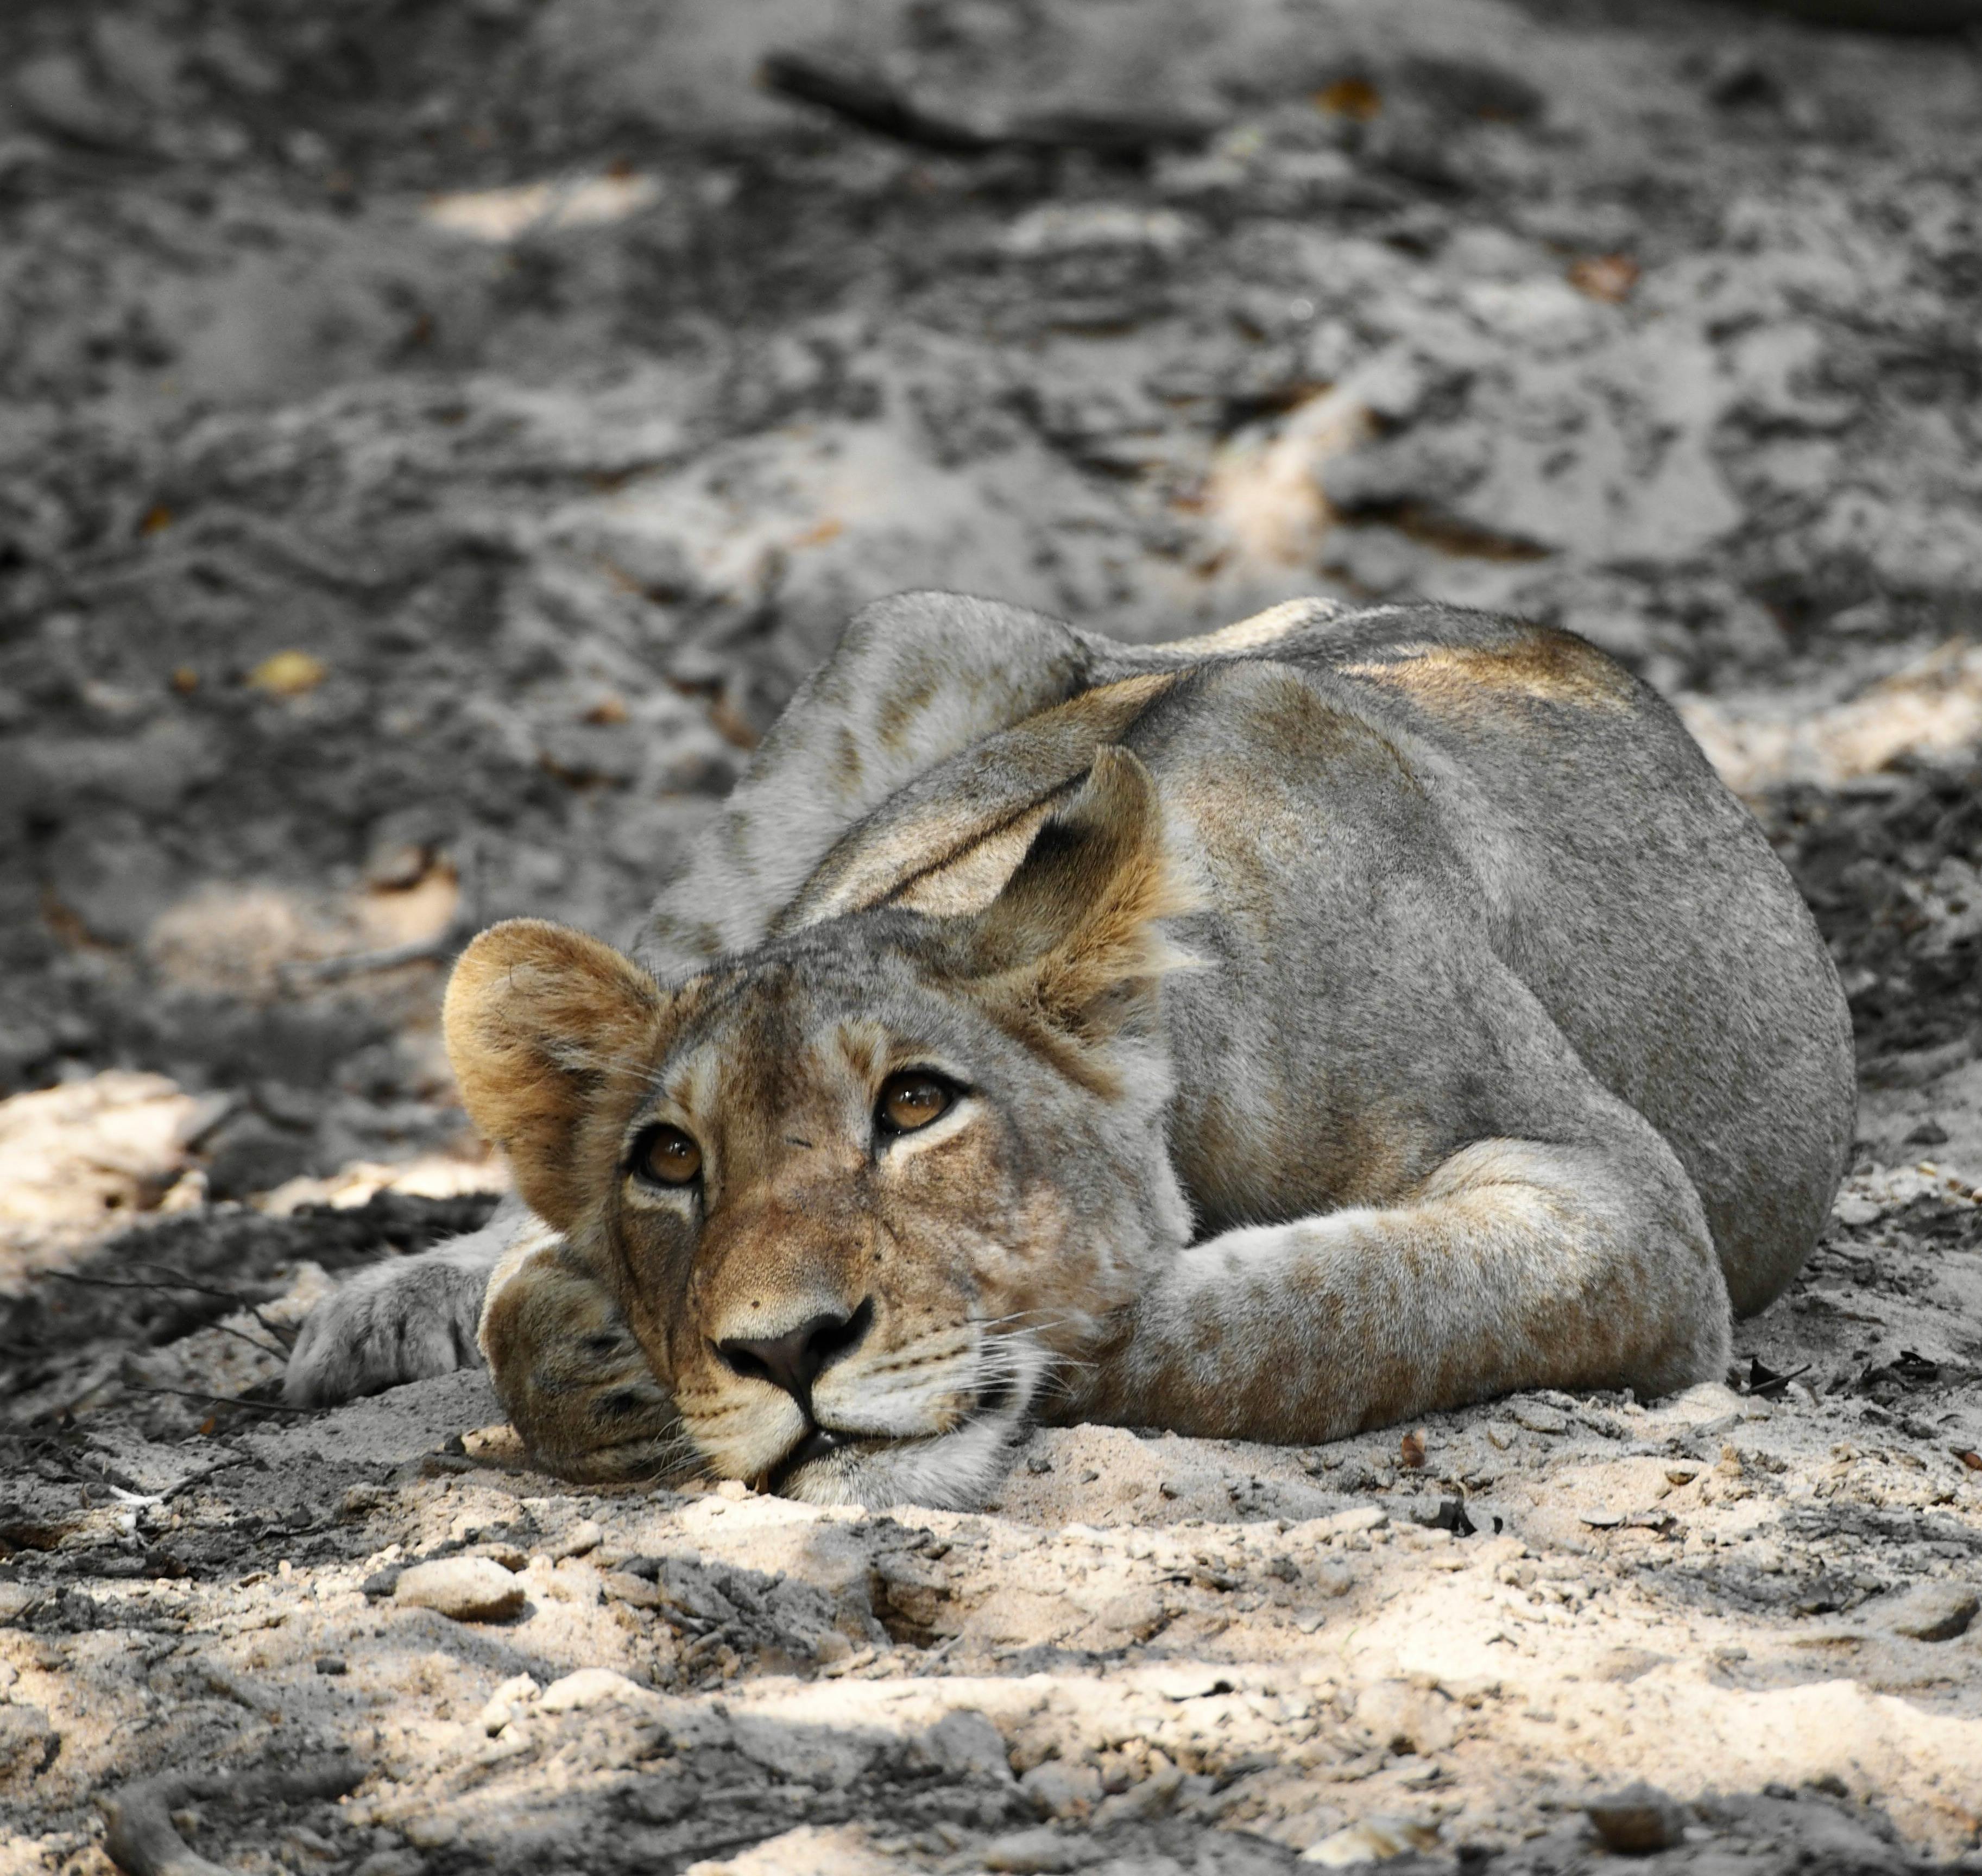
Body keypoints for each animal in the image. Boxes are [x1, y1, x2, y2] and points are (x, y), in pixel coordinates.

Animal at [285, 591, 1854, 1509]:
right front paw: (605, 1349)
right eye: (670, 1160)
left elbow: (1321, 1306)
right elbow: (536, 1300)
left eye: (917, 1105)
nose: (784, 1346)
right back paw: (378, 1305)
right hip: (912, 636)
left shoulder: (1620, 1198)